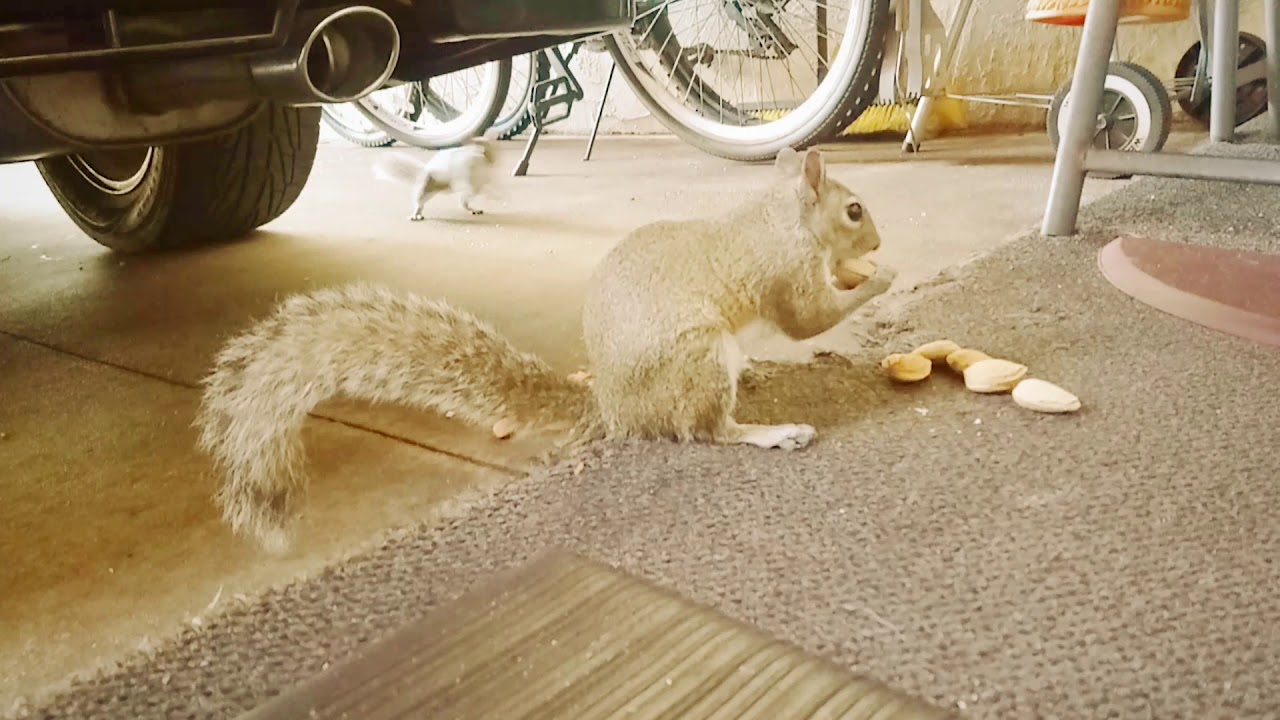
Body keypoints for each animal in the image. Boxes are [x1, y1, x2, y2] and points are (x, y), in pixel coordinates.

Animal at [194, 146, 897, 552]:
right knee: (706, 431)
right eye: (855, 211)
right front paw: (881, 279)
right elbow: (808, 318)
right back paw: (771, 431)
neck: (780, 219)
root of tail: (614, 409)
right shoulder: (783, 276)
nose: (878, 243)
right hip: (697, 360)